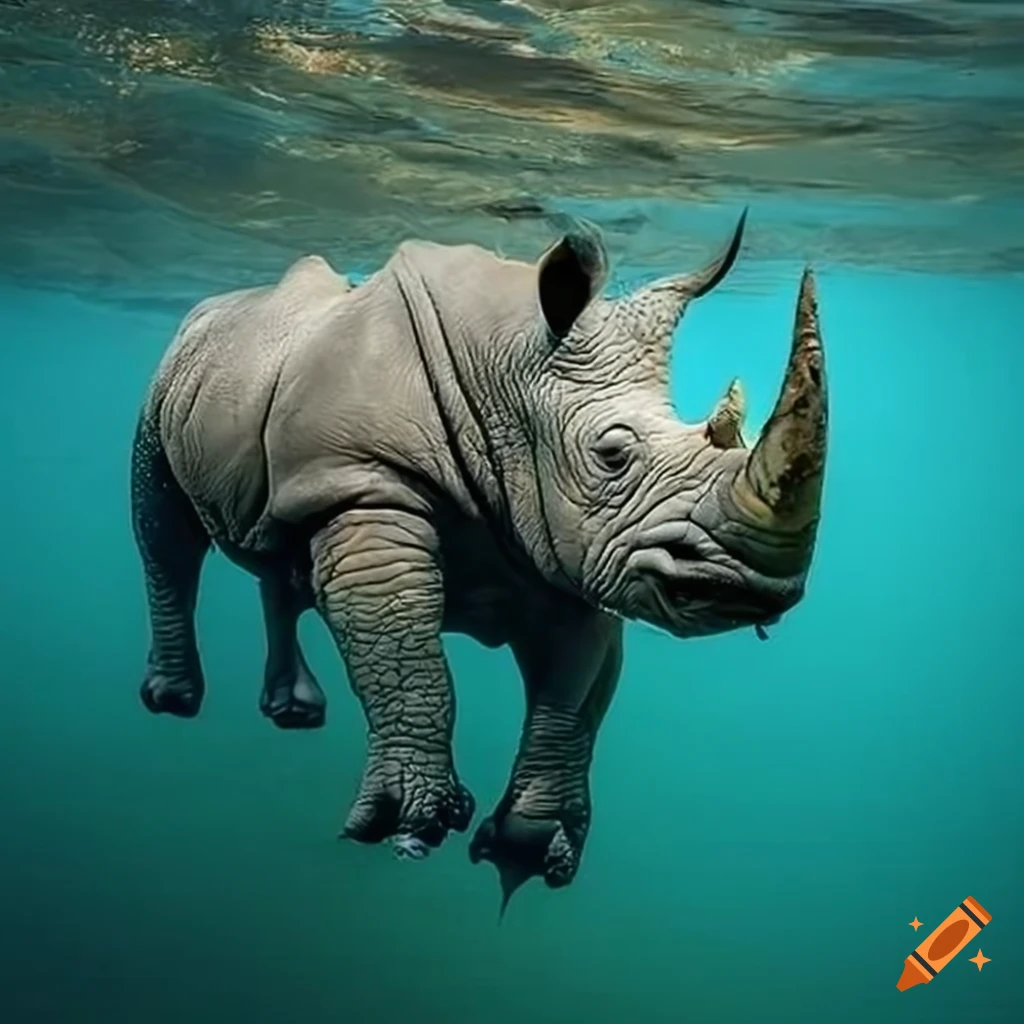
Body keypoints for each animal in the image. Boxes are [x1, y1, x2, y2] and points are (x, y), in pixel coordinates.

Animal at [130, 210, 828, 908]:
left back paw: (294, 713)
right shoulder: (364, 482)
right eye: (611, 456)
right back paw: (174, 701)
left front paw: (526, 848)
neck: (510, 371)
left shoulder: (571, 548)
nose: (751, 585)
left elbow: (570, 694)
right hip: (169, 378)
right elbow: (404, 651)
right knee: (164, 524)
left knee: (277, 557)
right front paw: (410, 825)